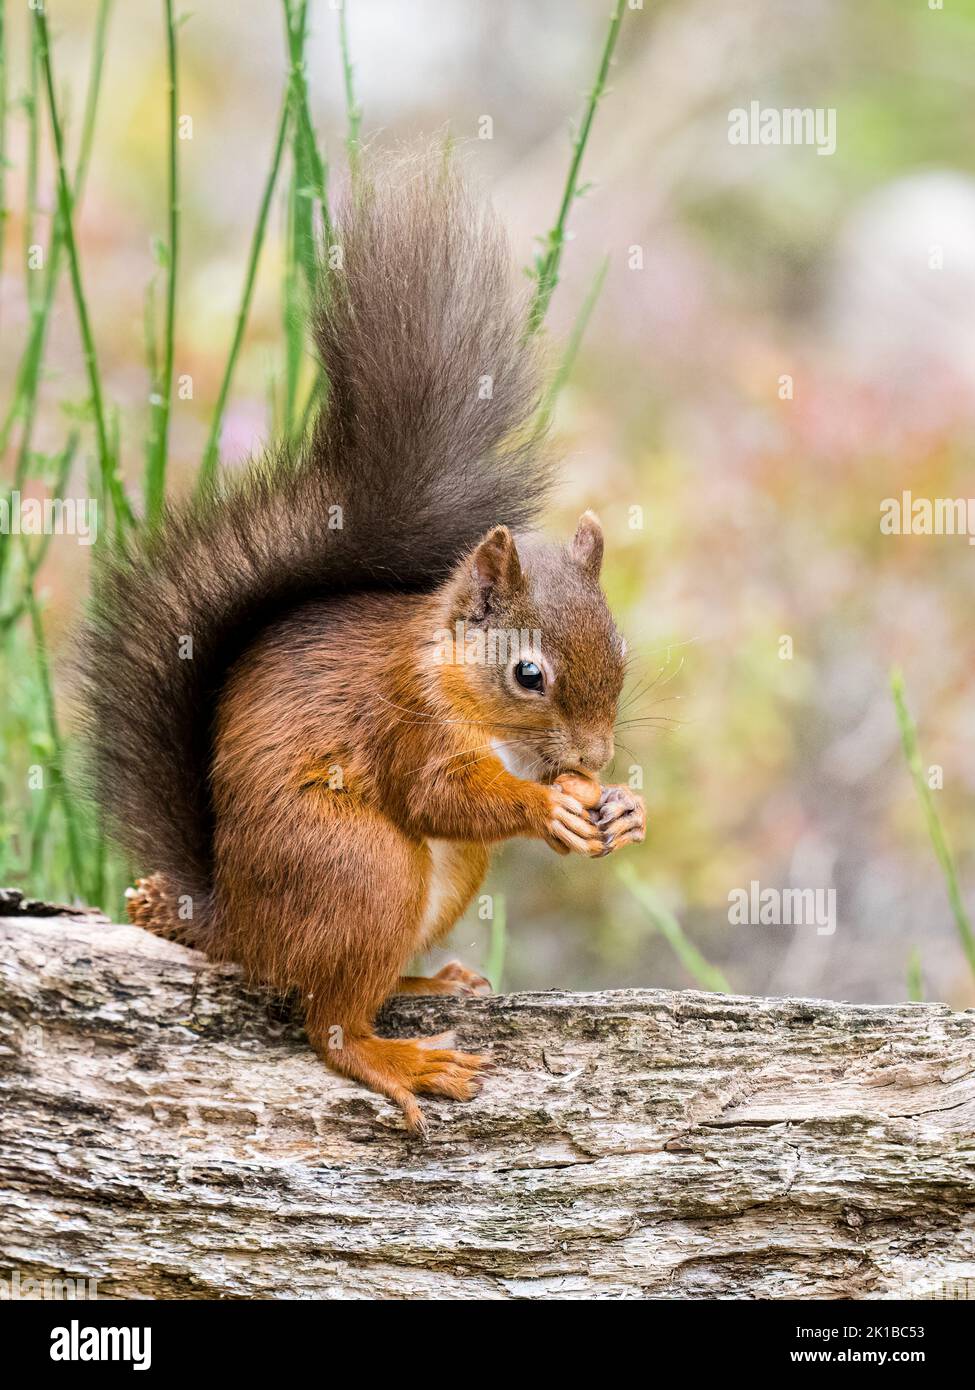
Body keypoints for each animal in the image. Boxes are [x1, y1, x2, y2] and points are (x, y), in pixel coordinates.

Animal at [80, 158, 646, 1132]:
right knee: (328, 1025)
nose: (595, 758)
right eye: (527, 673)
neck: (452, 680)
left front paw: (618, 809)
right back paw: (397, 1060)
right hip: (360, 869)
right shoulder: (404, 722)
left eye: (621, 652)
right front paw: (548, 807)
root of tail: (231, 921)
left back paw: (431, 985)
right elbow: (434, 794)